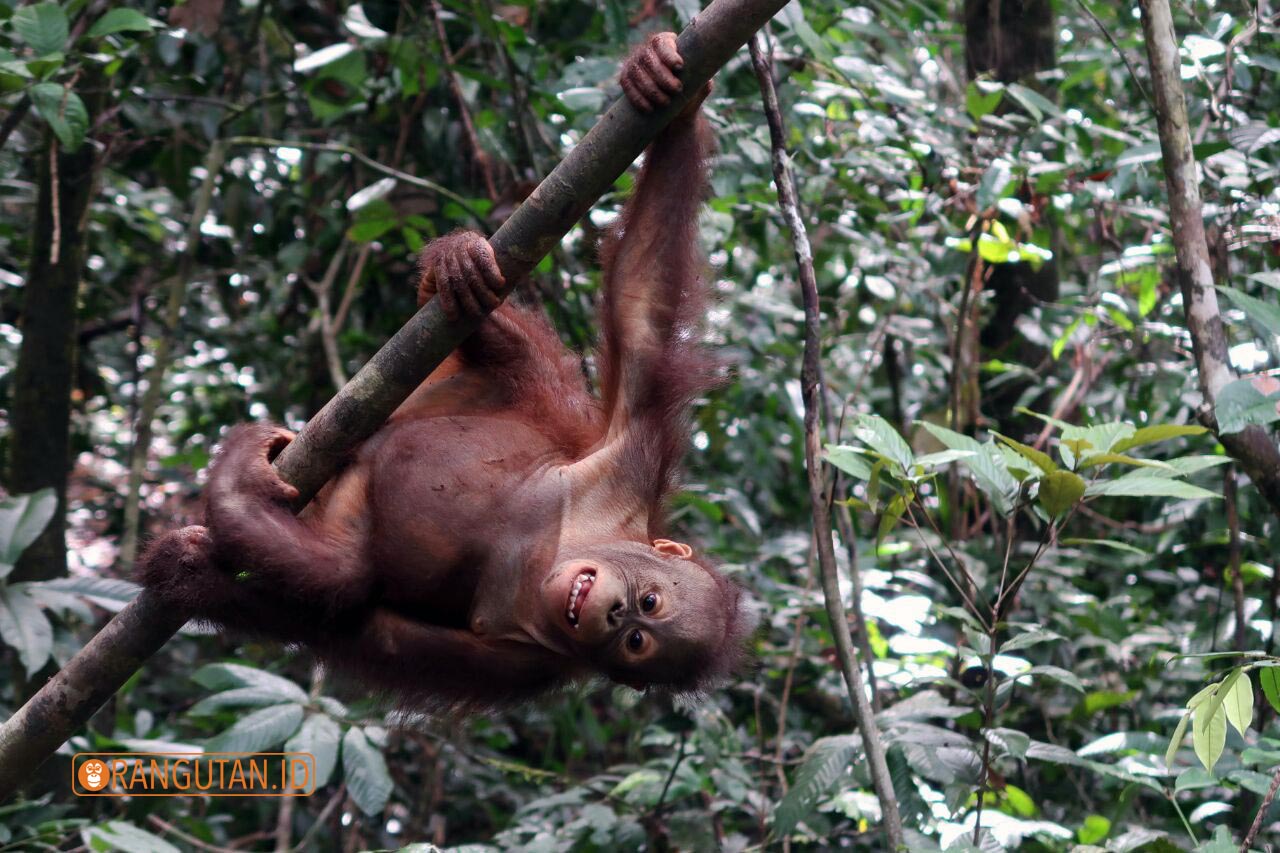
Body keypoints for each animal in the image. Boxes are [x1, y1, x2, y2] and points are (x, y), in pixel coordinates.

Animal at [138, 33, 754, 711]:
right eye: (647, 601)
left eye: (639, 642)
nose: (617, 616)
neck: (562, 551)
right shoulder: (628, 466)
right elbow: (642, 304)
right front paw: (672, 86)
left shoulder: (525, 668)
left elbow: (368, 631)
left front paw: (194, 579)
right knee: (506, 361)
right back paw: (456, 267)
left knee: (342, 575)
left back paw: (235, 488)